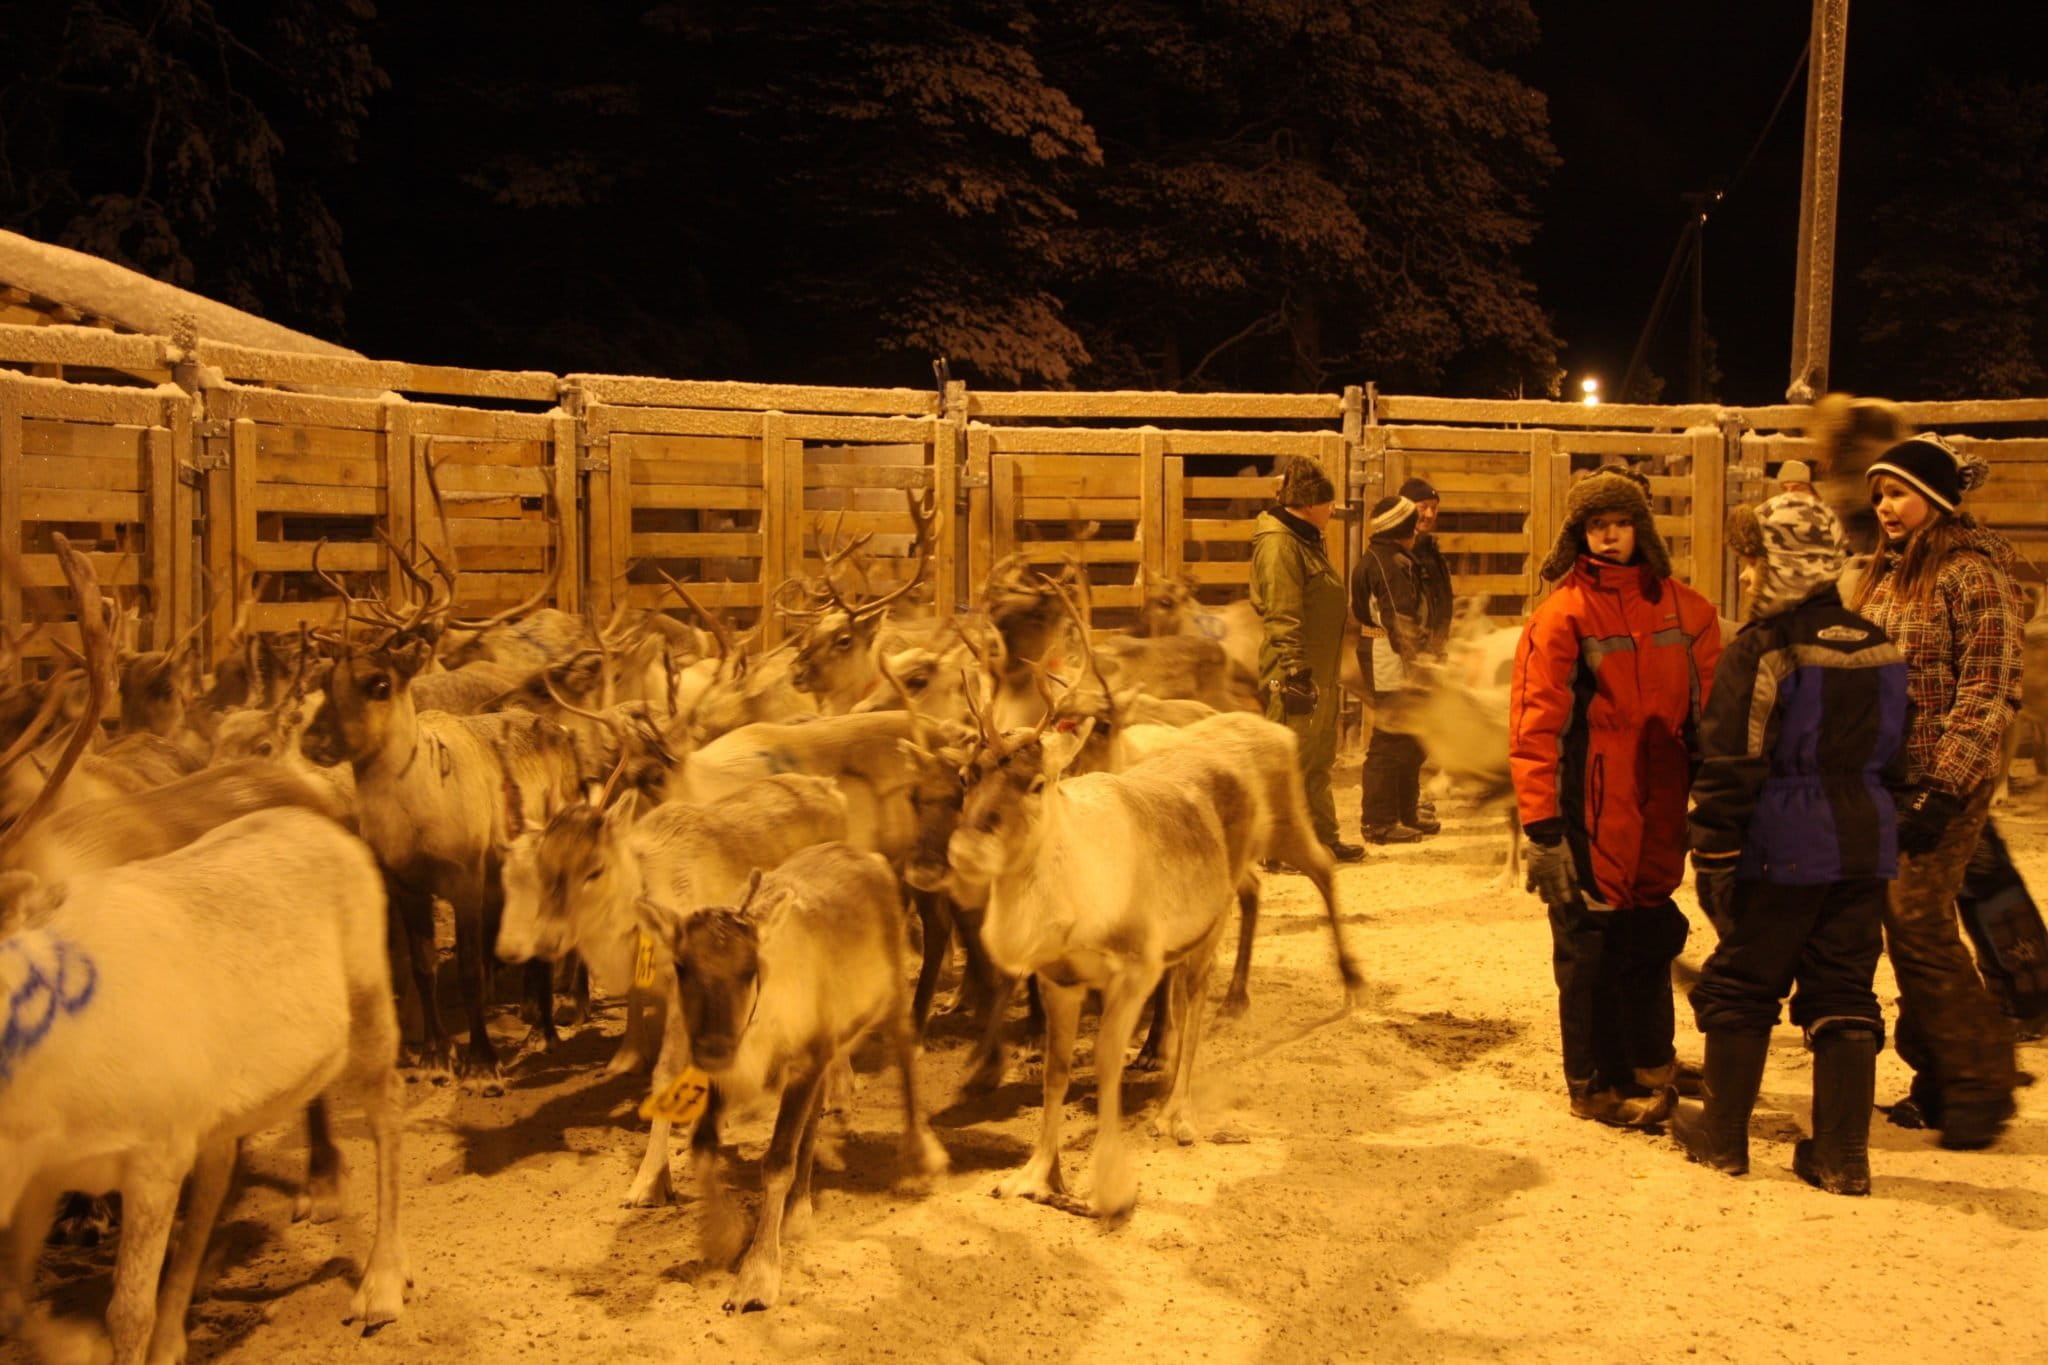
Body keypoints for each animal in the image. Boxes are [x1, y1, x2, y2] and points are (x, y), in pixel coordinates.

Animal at [0, 535, 409, 1364]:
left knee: (385, 1108)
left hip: (369, 1004)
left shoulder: (151, 1155)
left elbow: (123, 1310)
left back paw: (377, 1276)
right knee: (226, 1163)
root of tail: (321, 811)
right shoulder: (36, 1177)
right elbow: (13, 1303)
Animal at [497, 772, 849, 1206]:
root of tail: (832, 788)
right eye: (543, 868)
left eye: (595, 870)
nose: (548, 940)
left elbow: (665, 1073)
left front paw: (648, 1181)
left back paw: (837, 1094)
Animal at [647, 843, 948, 1313]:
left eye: (750, 968)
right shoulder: (732, 1077)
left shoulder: (804, 1062)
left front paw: (757, 1275)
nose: (714, 1048)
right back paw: (798, 1211)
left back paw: (922, 1157)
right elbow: (703, 1147)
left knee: (905, 1057)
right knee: (815, 1118)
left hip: (892, 997)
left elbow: (776, 1162)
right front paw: (723, 1235)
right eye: (682, 966)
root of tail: (867, 854)